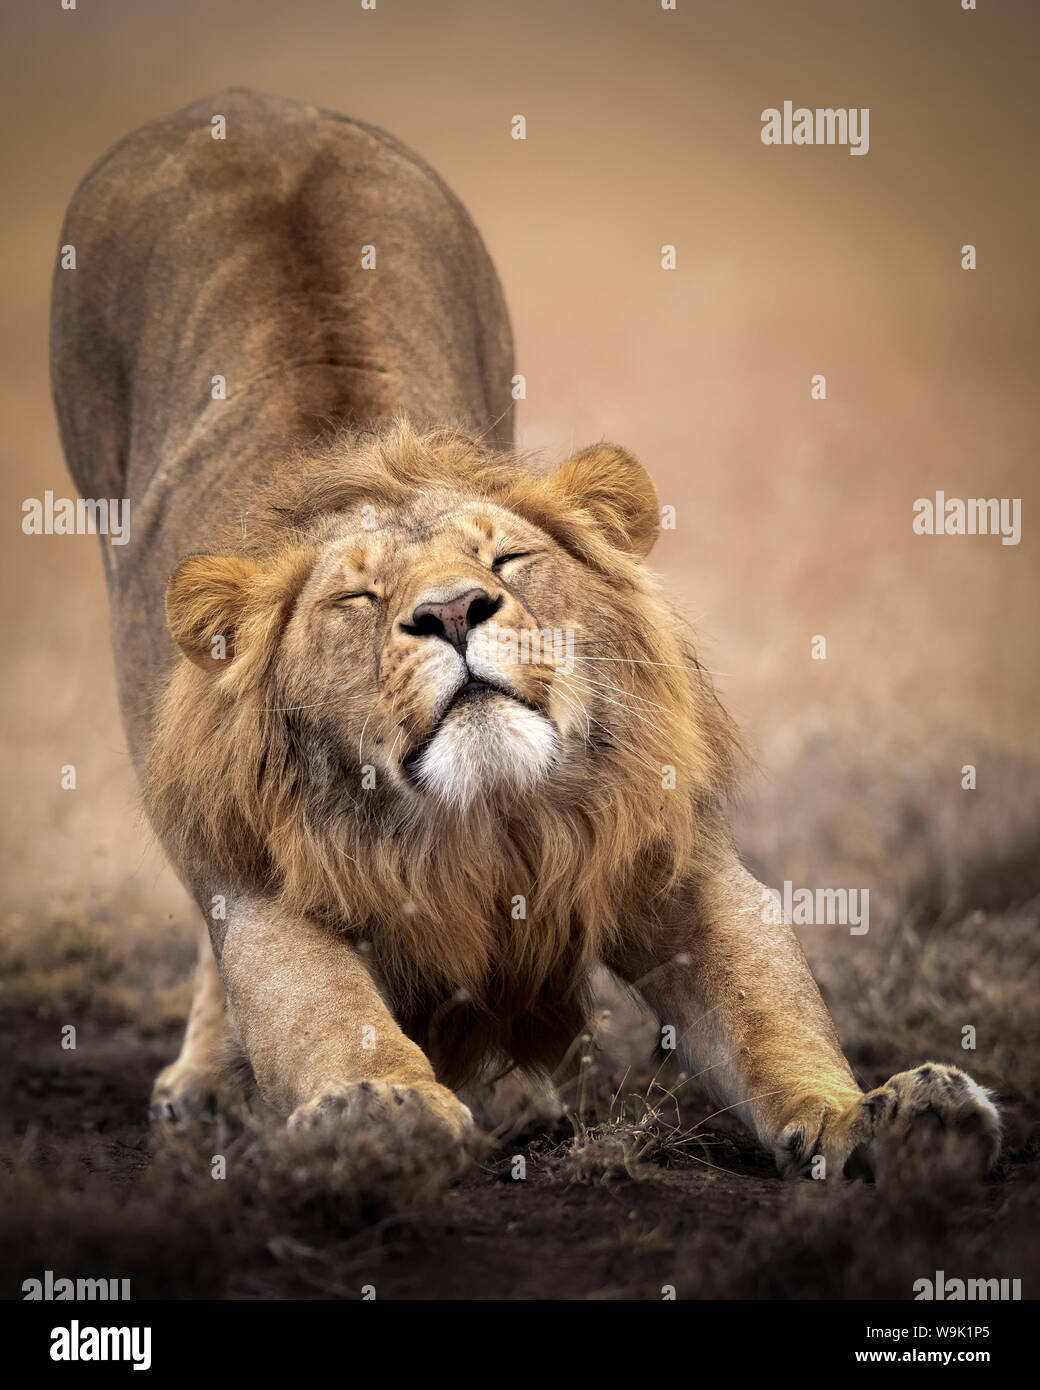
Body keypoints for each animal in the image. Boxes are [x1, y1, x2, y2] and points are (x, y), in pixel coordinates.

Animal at [51, 89, 1000, 1183]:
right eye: (358, 600)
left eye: (504, 562)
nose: (451, 613)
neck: (489, 822)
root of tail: (249, 103)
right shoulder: (265, 877)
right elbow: (321, 1011)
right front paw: (377, 1110)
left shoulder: (668, 852)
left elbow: (774, 1018)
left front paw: (891, 1112)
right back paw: (210, 1085)